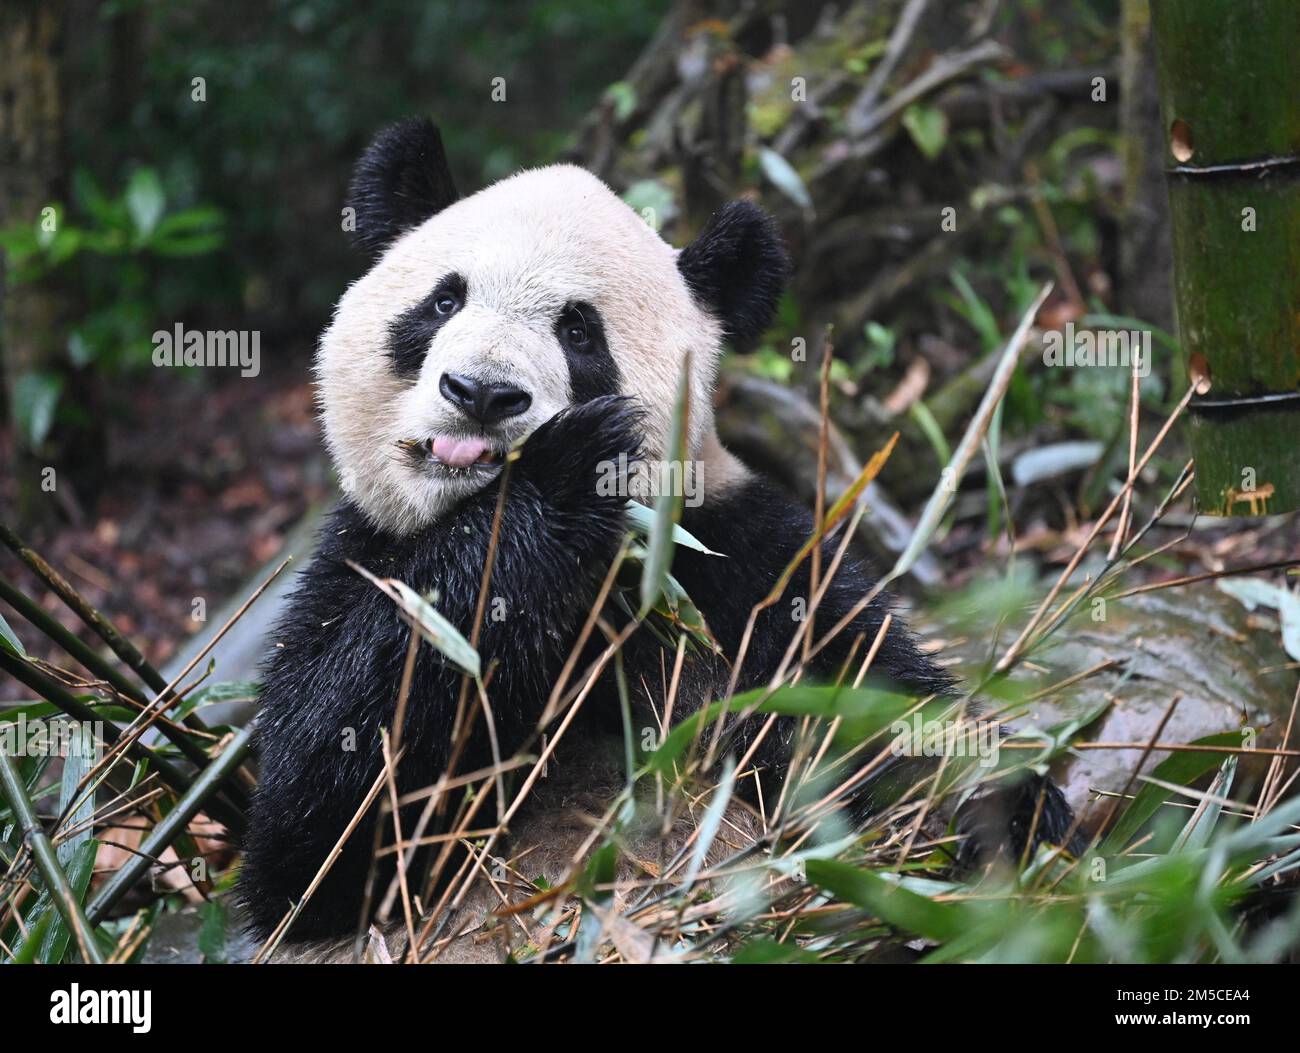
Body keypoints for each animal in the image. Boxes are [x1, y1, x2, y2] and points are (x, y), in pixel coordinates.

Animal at [237, 117, 1077, 960]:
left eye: (579, 331)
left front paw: (1010, 815)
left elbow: (868, 715)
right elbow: (314, 825)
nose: (481, 394)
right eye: (445, 300)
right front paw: (561, 471)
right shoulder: (361, 559)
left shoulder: (744, 560)